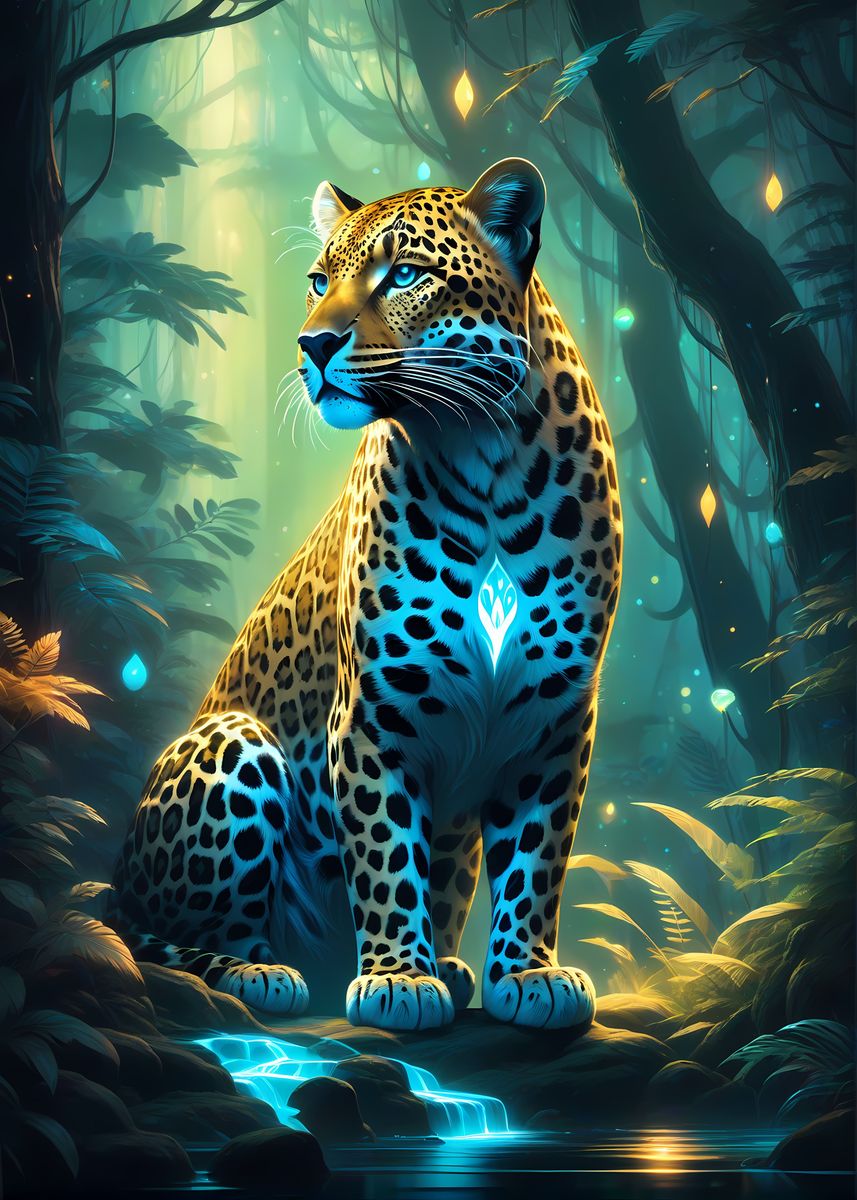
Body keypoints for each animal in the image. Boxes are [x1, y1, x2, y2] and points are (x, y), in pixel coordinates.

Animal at [106, 158, 622, 1033]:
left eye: (404, 274)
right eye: (320, 280)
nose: (313, 342)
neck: (482, 455)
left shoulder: (555, 715)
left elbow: (536, 858)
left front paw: (527, 973)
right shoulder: (372, 716)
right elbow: (384, 856)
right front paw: (397, 979)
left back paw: (450, 966)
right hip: (237, 742)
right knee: (170, 938)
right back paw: (260, 972)